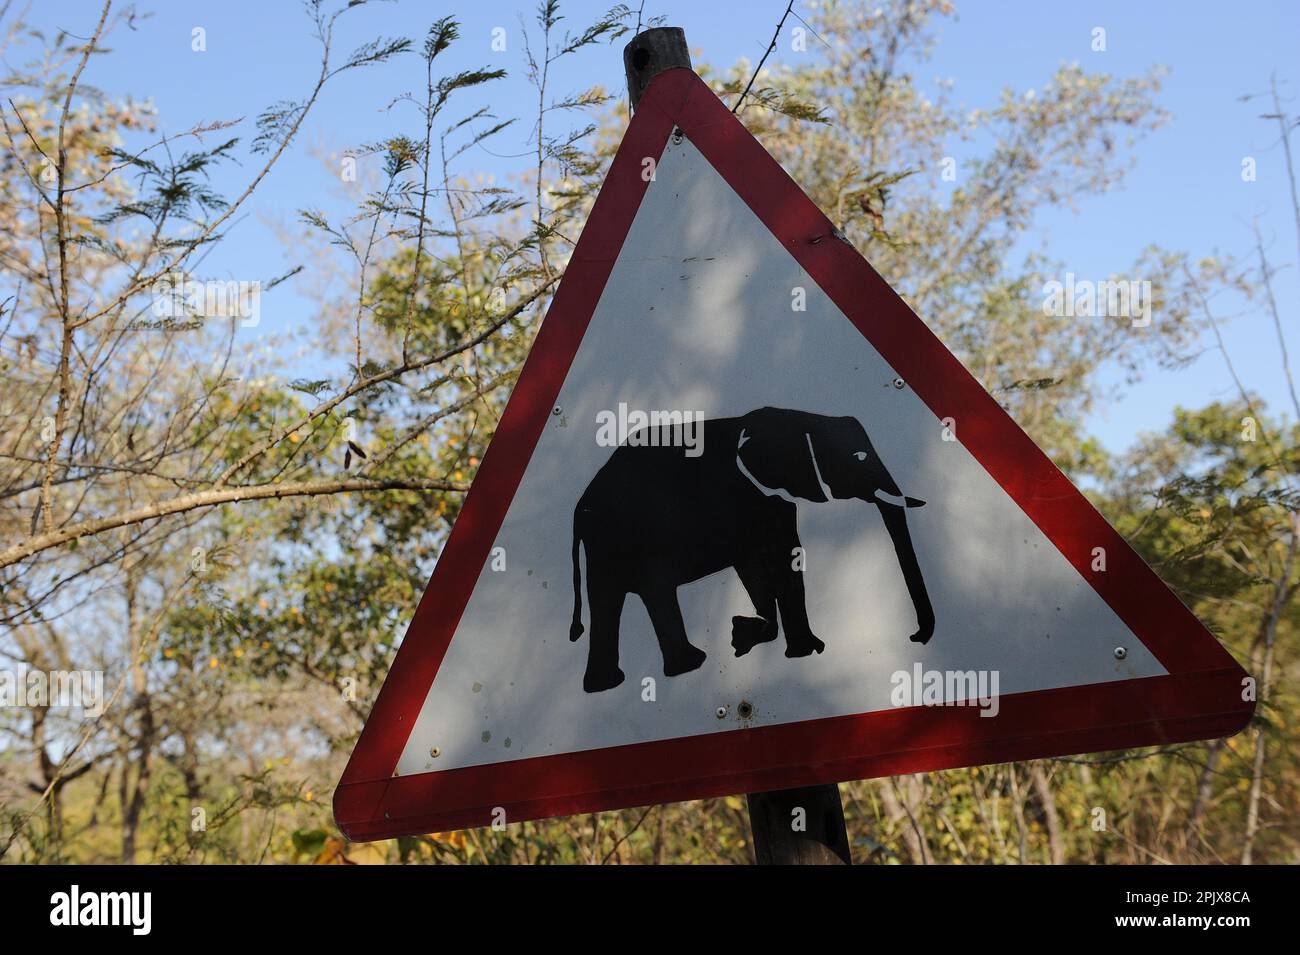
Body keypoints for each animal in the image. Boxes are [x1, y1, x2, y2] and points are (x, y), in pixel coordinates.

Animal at [568, 406, 935, 693]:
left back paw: (609, 684)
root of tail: (579, 507)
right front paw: (807, 650)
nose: (915, 637)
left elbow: (756, 565)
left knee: (610, 601)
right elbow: (784, 556)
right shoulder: (761, 496)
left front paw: (751, 635)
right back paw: (689, 664)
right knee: (650, 590)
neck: (802, 418)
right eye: (859, 456)